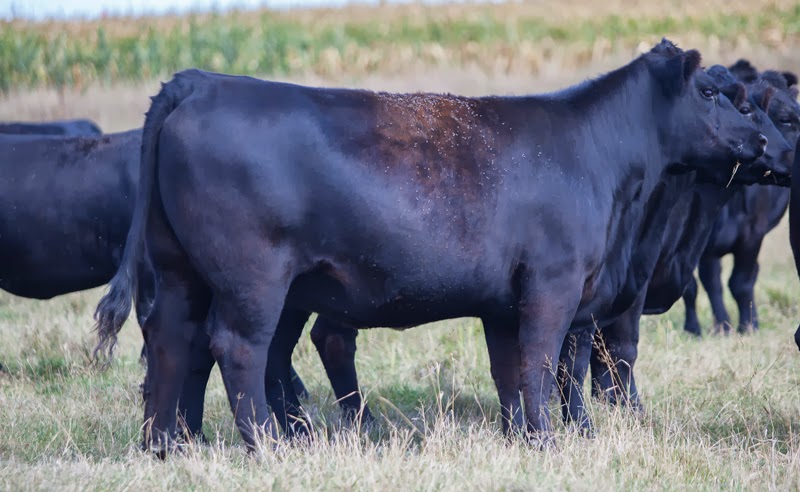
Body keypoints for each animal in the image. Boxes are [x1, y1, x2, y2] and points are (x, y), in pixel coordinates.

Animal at [93, 39, 770, 454]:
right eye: (711, 93)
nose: (761, 141)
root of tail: (200, 83)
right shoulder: (551, 285)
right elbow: (540, 363)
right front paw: (549, 442)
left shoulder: (504, 301)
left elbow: (509, 372)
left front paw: (519, 439)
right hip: (252, 280)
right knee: (236, 348)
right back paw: (267, 445)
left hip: (180, 270)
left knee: (174, 341)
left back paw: (168, 445)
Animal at [683, 63, 800, 336]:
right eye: (785, 118)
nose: (790, 157)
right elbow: (693, 286)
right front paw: (695, 330)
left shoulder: (752, 233)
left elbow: (741, 283)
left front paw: (747, 327)